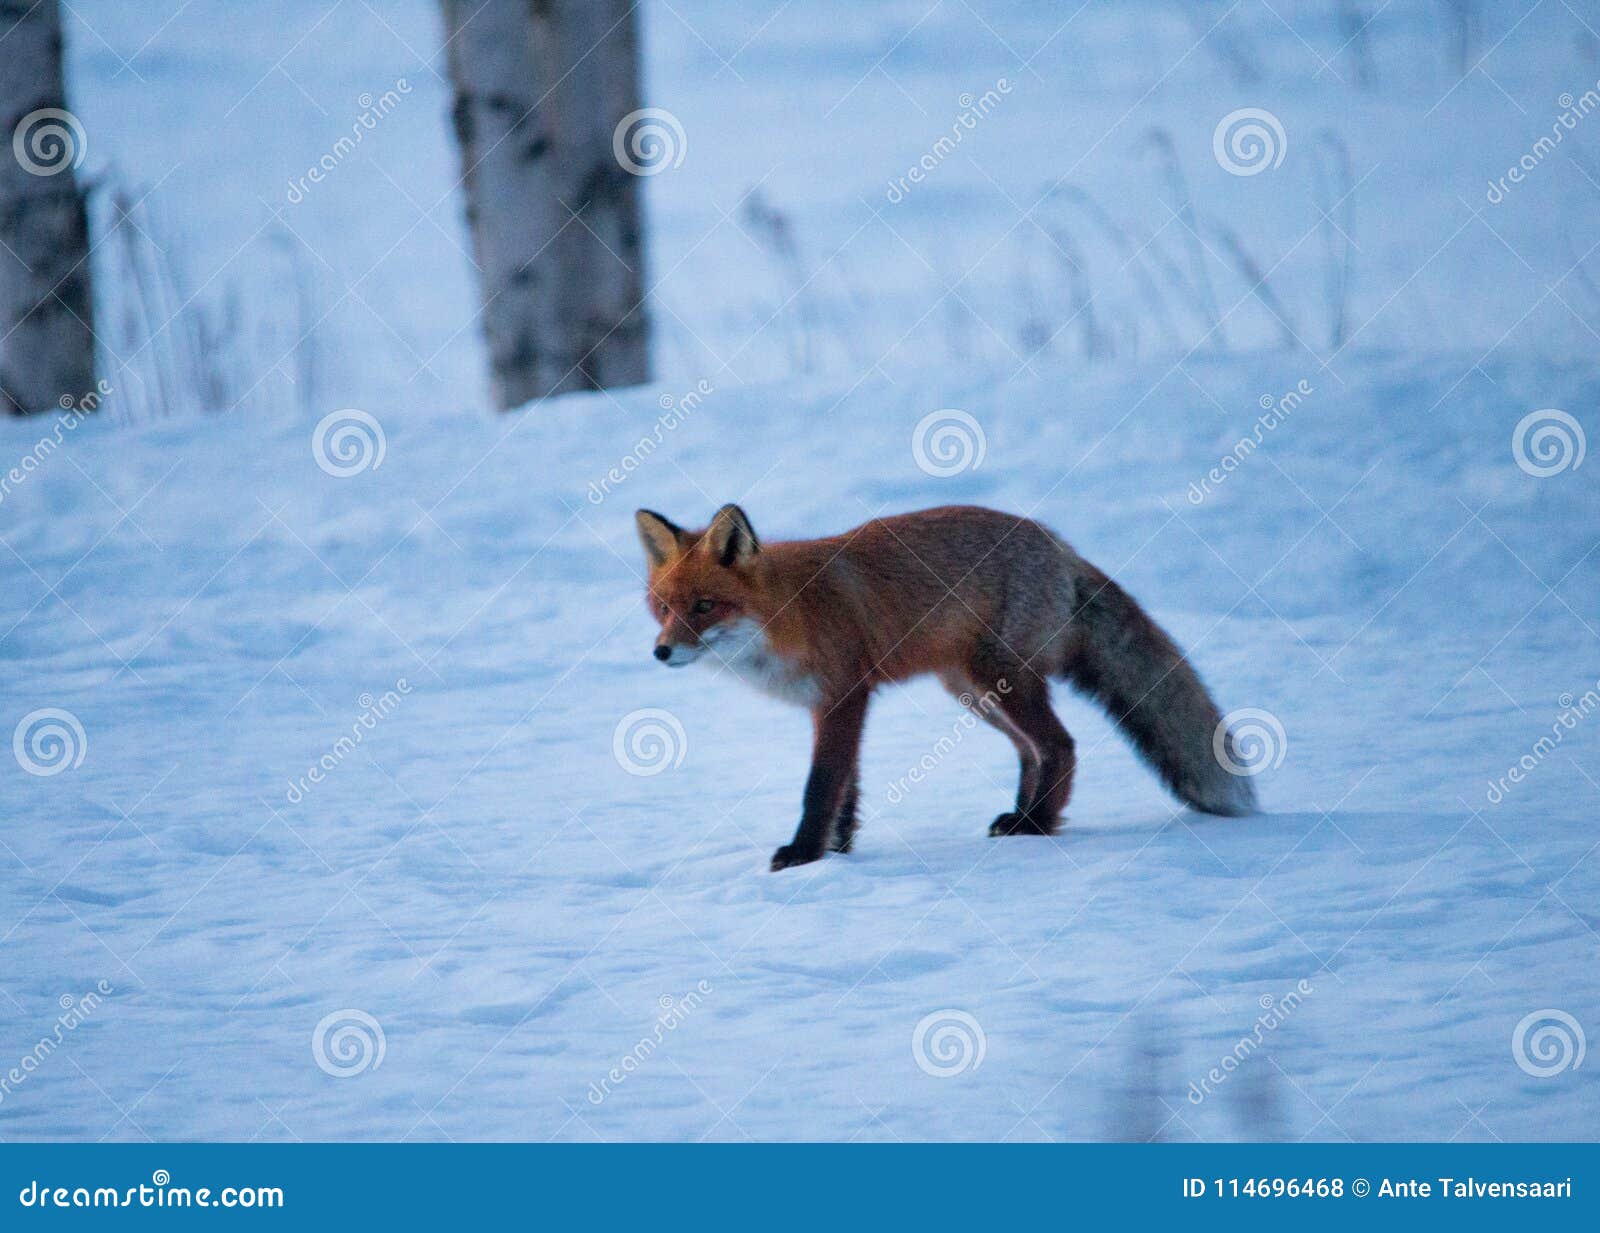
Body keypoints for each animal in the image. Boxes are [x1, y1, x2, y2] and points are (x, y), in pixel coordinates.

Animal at [635, 503, 1255, 871]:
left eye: (704, 606)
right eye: (663, 608)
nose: (660, 652)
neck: (788, 613)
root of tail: (1059, 546)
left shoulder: (843, 695)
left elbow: (821, 786)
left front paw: (806, 854)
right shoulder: (833, 706)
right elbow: (847, 790)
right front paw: (838, 850)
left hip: (999, 680)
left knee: (1061, 746)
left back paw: (1036, 826)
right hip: (972, 690)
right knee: (1032, 751)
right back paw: (1020, 818)